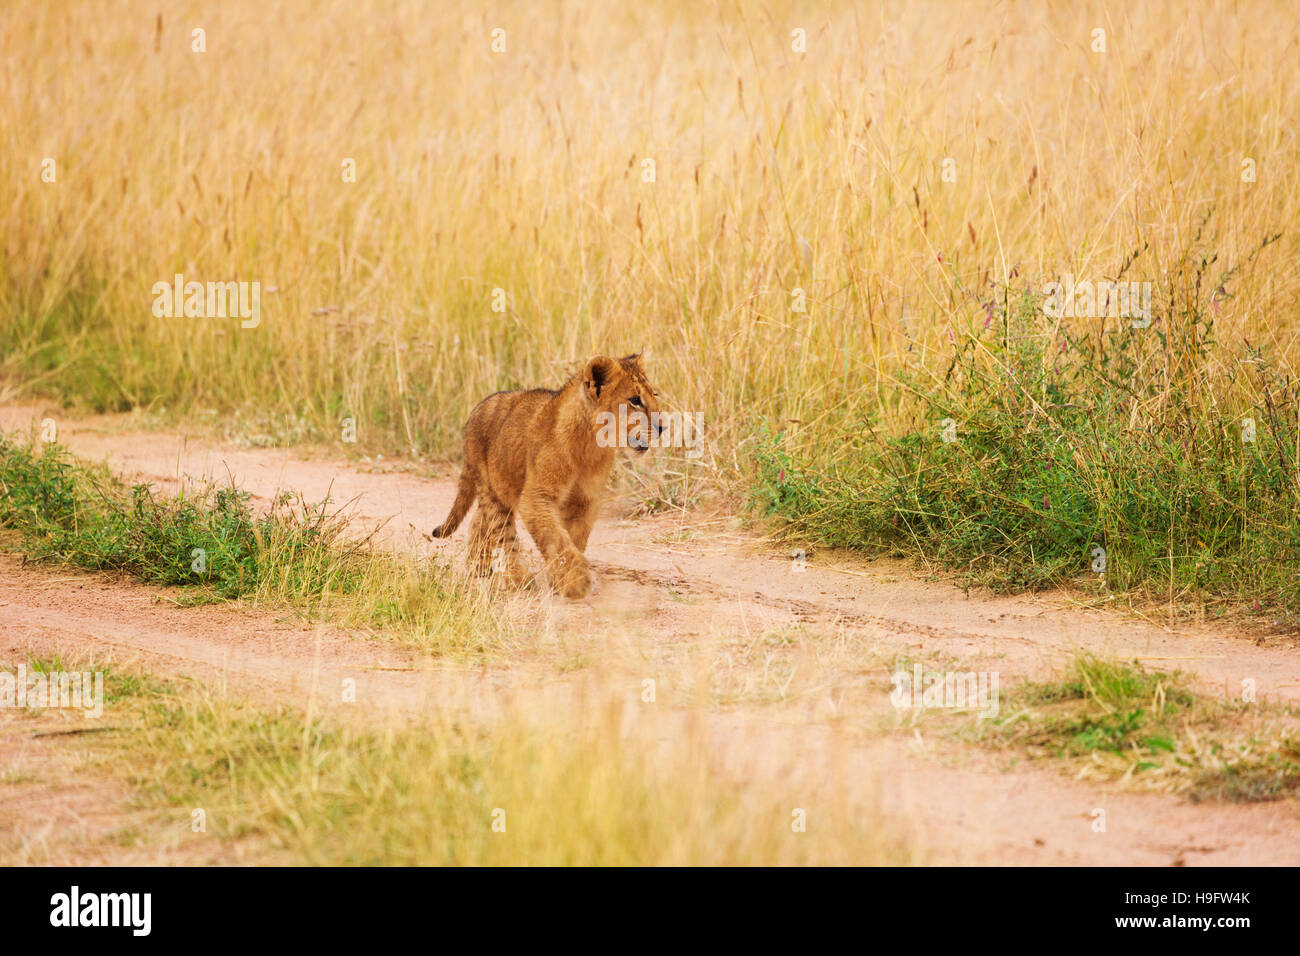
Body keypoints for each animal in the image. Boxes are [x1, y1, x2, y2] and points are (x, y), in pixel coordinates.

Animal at [432, 353, 664, 599]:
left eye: (654, 395)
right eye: (635, 400)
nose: (663, 427)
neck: (590, 446)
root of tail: (477, 409)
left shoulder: (585, 502)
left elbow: (574, 538)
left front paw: (560, 579)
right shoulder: (536, 497)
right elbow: (555, 537)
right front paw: (576, 580)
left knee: (480, 520)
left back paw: (480, 566)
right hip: (491, 487)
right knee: (502, 533)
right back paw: (518, 579)